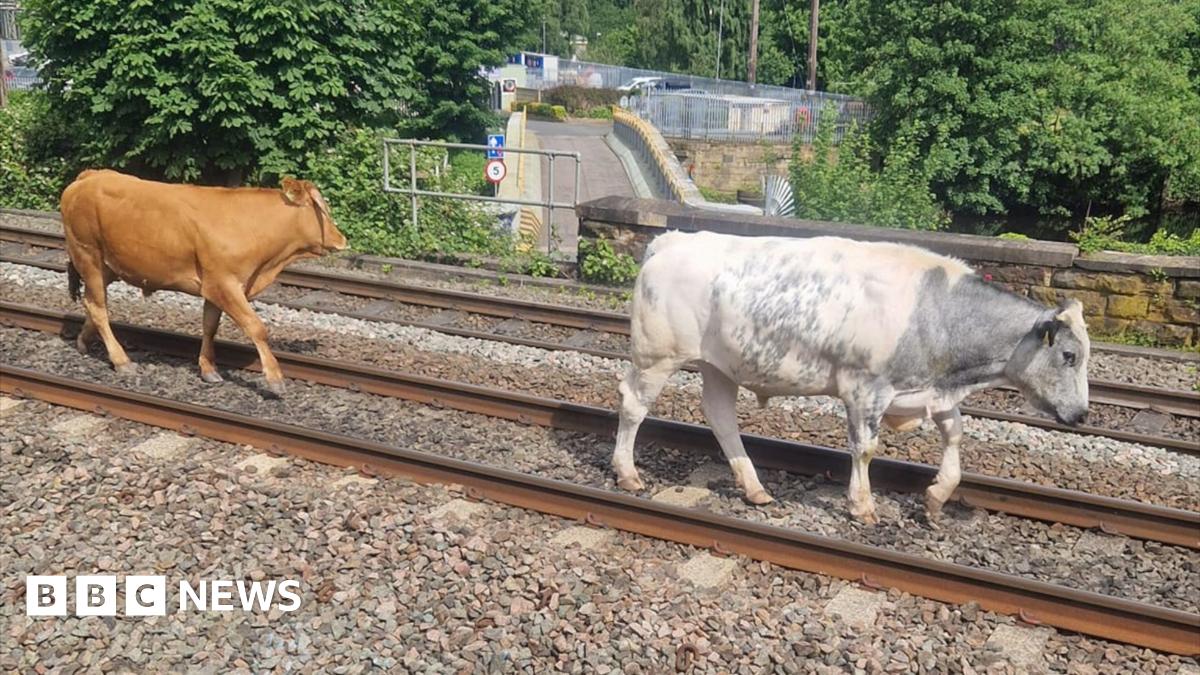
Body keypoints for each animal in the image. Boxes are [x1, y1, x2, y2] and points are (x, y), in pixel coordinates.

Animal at [59, 169, 348, 395]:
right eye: (320, 208)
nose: (342, 239)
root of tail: (90, 176)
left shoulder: (214, 286)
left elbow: (210, 326)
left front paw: (208, 368)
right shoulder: (224, 284)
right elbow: (256, 327)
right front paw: (275, 379)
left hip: (107, 266)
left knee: (92, 304)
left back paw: (84, 341)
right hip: (88, 256)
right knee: (98, 308)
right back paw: (121, 361)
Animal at [611, 231, 1090, 523]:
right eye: (1069, 355)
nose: (1083, 414)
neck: (936, 314)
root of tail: (673, 240)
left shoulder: (931, 392)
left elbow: (955, 435)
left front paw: (938, 495)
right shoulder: (865, 389)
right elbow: (865, 448)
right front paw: (862, 505)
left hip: (719, 364)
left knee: (720, 417)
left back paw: (754, 487)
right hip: (657, 355)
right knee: (633, 405)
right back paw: (627, 473)